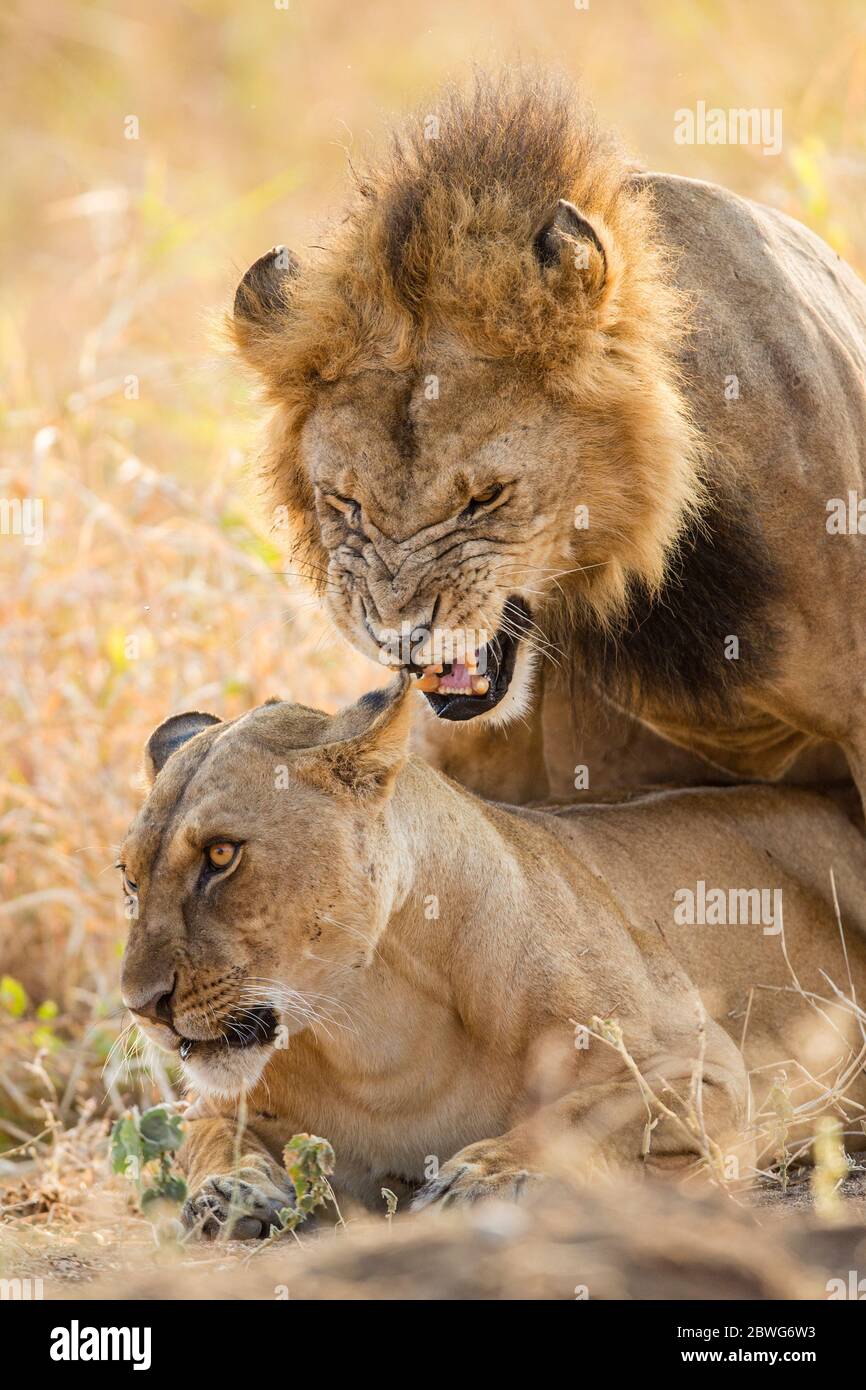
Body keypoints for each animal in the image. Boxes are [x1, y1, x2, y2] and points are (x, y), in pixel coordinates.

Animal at [119, 677, 866, 1237]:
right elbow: (208, 1137)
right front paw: (230, 1190)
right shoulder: (220, 1102)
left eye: (221, 854)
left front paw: (481, 1175)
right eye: (129, 878)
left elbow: (579, 1114)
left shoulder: (704, 1072)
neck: (376, 1038)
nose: (142, 1006)